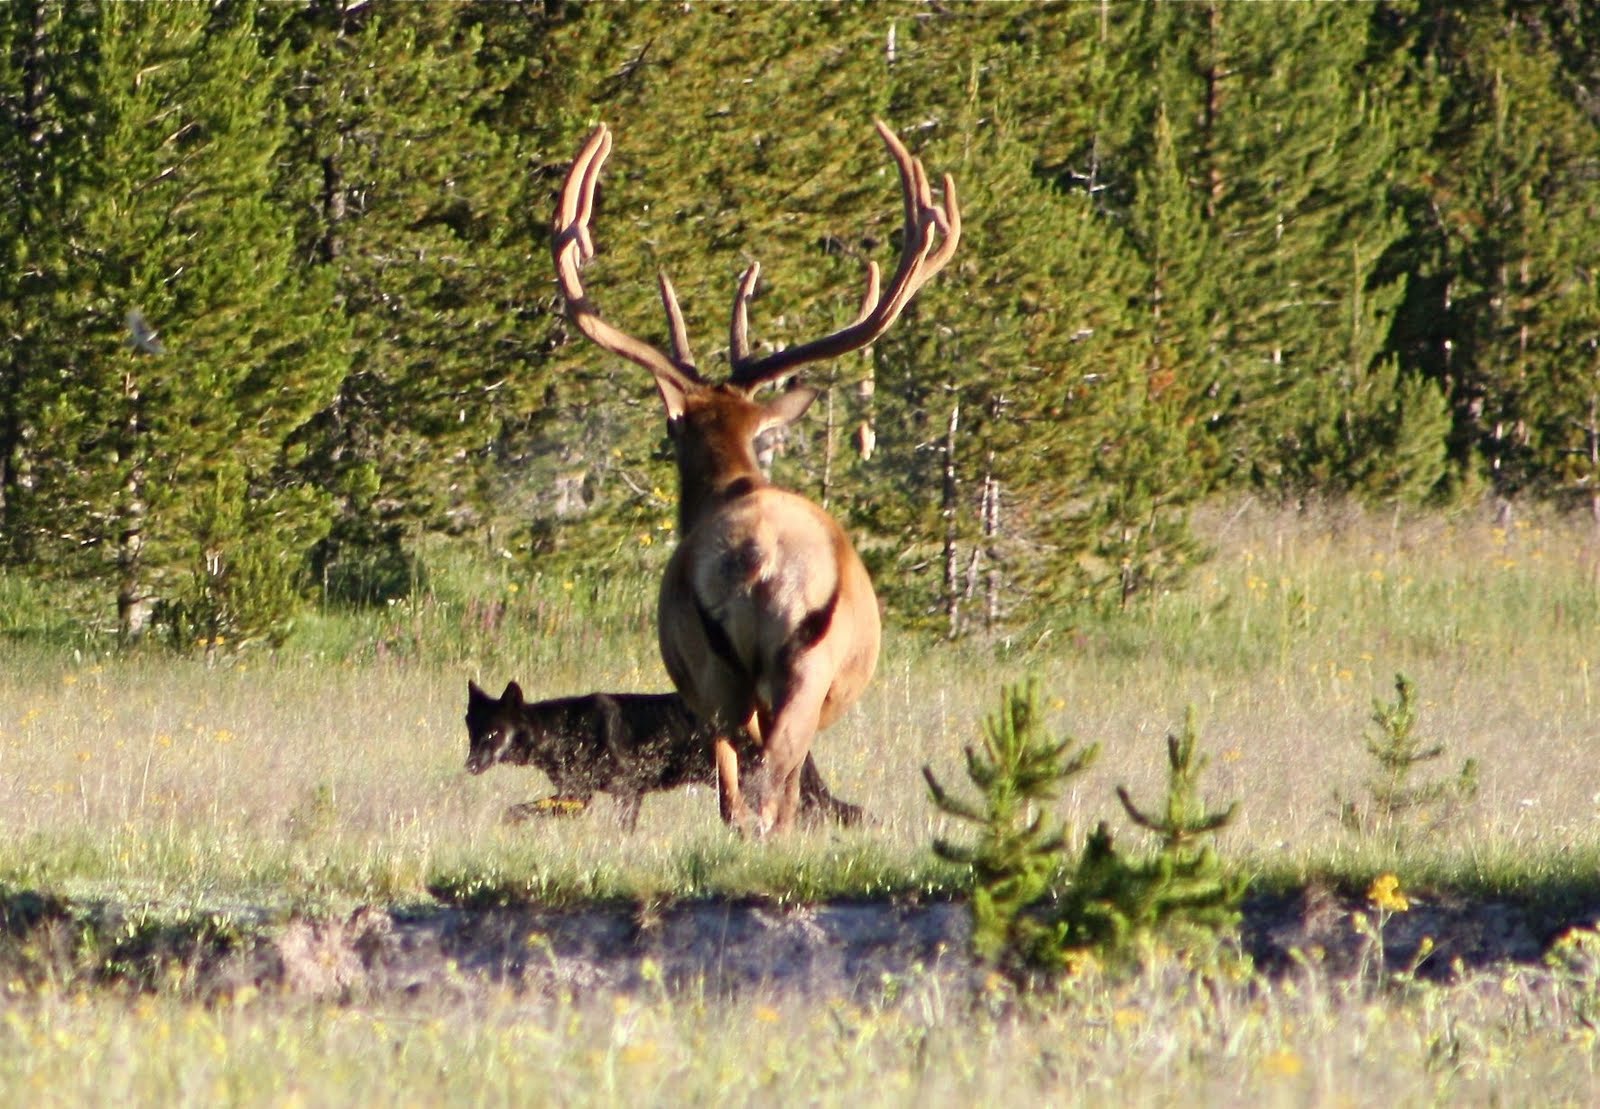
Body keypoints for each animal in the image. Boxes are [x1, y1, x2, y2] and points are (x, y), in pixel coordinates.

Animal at [464, 680, 863, 831]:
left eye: (493, 734)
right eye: (472, 733)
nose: (469, 765)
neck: (562, 730)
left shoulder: (611, 794)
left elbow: (516, 810)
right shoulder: (584, 796)